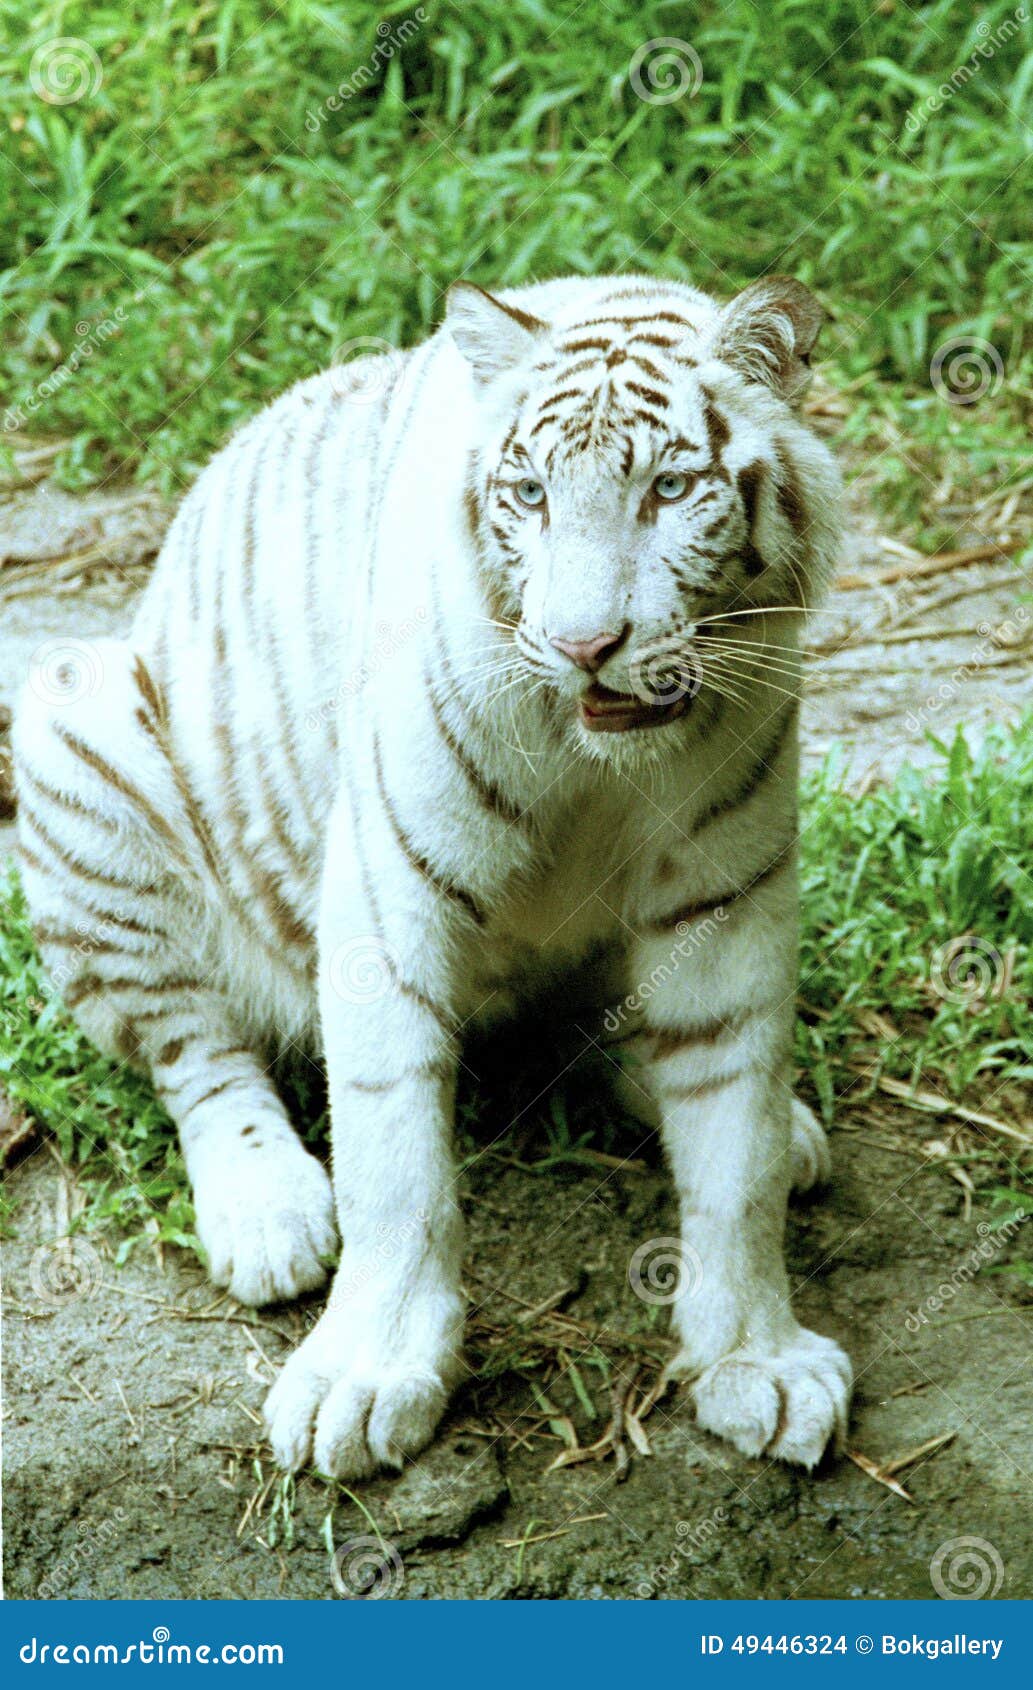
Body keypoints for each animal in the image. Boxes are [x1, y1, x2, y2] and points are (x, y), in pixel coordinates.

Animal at [12, 271, 852, 1479]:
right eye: (530, 495)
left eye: (670, 488)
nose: (584, 645)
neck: (594, 765)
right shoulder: (385, 893)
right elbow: (393, 1160)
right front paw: (364, 1380)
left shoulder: (724, 900)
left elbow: (733, 1153)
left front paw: (757, 1361)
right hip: (74, 725)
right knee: (196, 1054)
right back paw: (268, 1212)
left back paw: (783, 1130)